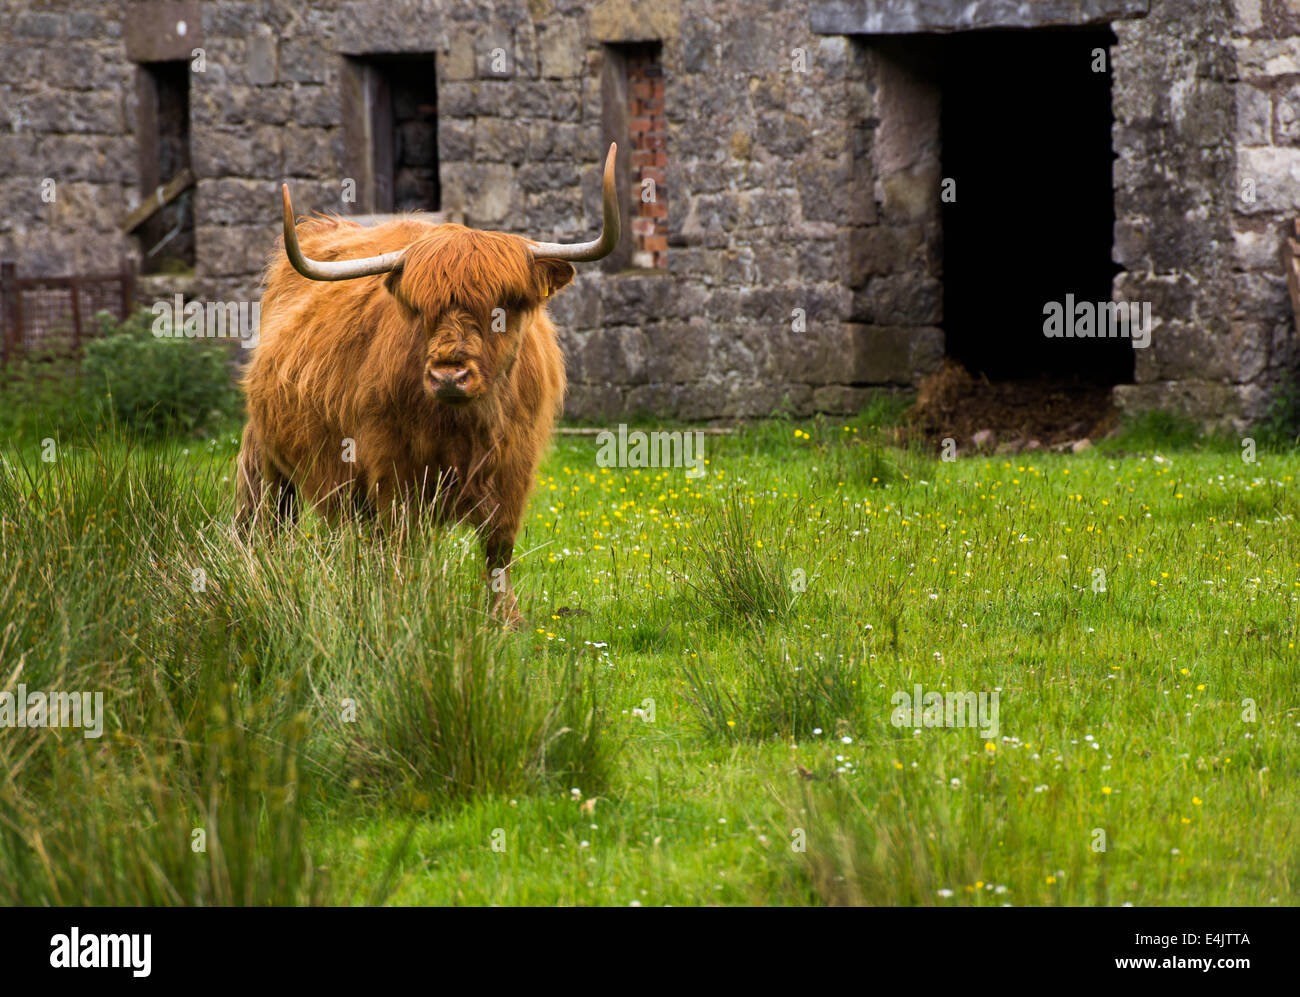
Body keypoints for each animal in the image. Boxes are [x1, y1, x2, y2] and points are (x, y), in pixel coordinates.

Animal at [235, 145, 620, 626]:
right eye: (420, 309)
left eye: (505, 306)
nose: (449, 375)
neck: (465, 425)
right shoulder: (390, 466)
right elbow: (402, 543)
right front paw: (403, 607)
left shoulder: (516, 464)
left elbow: (499, 548)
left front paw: (506, 618)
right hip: (267, 455)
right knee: (266, 520)